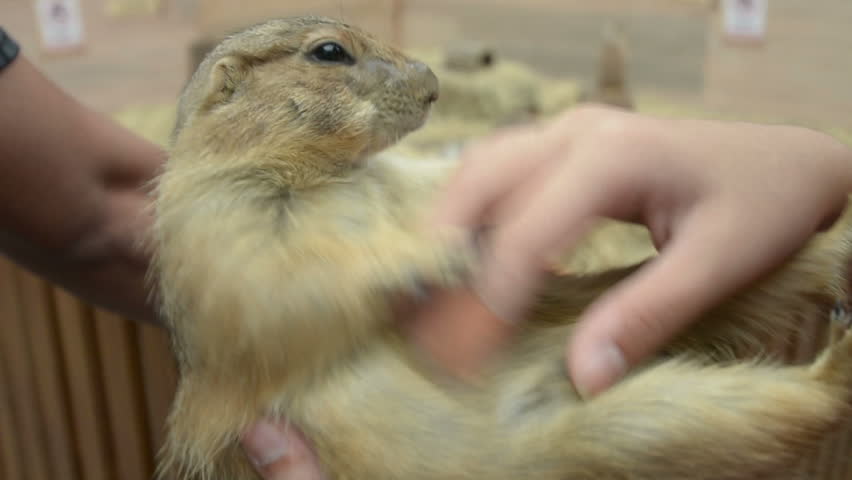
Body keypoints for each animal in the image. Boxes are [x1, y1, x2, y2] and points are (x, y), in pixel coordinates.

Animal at [150, 16, 852, 480]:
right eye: (329, 52)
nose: (434, 81)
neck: (328, 175)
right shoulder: (219, 229)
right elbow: (280, 290)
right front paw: (430, 254)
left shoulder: (395, 182)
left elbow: (433, 189)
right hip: (604, 433)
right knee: (804, 405)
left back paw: (834, 257)